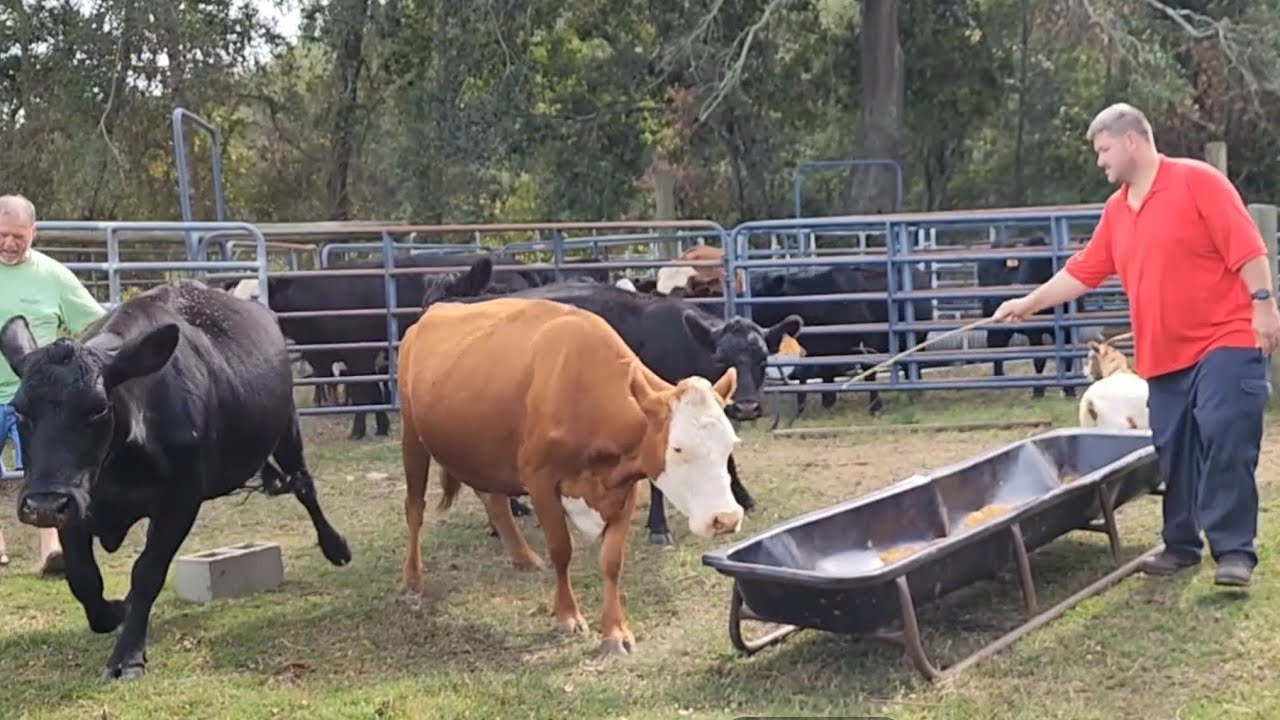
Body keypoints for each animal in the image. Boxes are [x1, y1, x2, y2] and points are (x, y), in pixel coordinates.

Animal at [0, 279, 352, 681]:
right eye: (19, 409)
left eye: (99, 408)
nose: (41, 505)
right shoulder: (75, 502)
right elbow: (83, 578)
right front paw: (115, 611)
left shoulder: (180, 501)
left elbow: (147, 572)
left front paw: (127, 656)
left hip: (286, 425)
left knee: (304, 485)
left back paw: (335, 546)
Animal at [398, 294, 743, 655]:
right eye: (677, 448)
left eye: (730, 444)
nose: (726, 519)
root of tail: (435, 311)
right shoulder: (540, 481)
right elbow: (561, 550)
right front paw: (567, 615)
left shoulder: (624, 486)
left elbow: (612, 560)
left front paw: (615, 631)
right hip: (412, 437)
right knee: (415, 508)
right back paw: (413, 579)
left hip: (481, 451)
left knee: (493, 498)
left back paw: (522, 556)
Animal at [977, 235, 1077, 398]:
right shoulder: (1034, 331)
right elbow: (1039, 359)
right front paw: (1038, 390)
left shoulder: (1067, 330)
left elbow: (1067, 358)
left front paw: (1069, 390)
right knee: (995, 344)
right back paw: (998, 380)